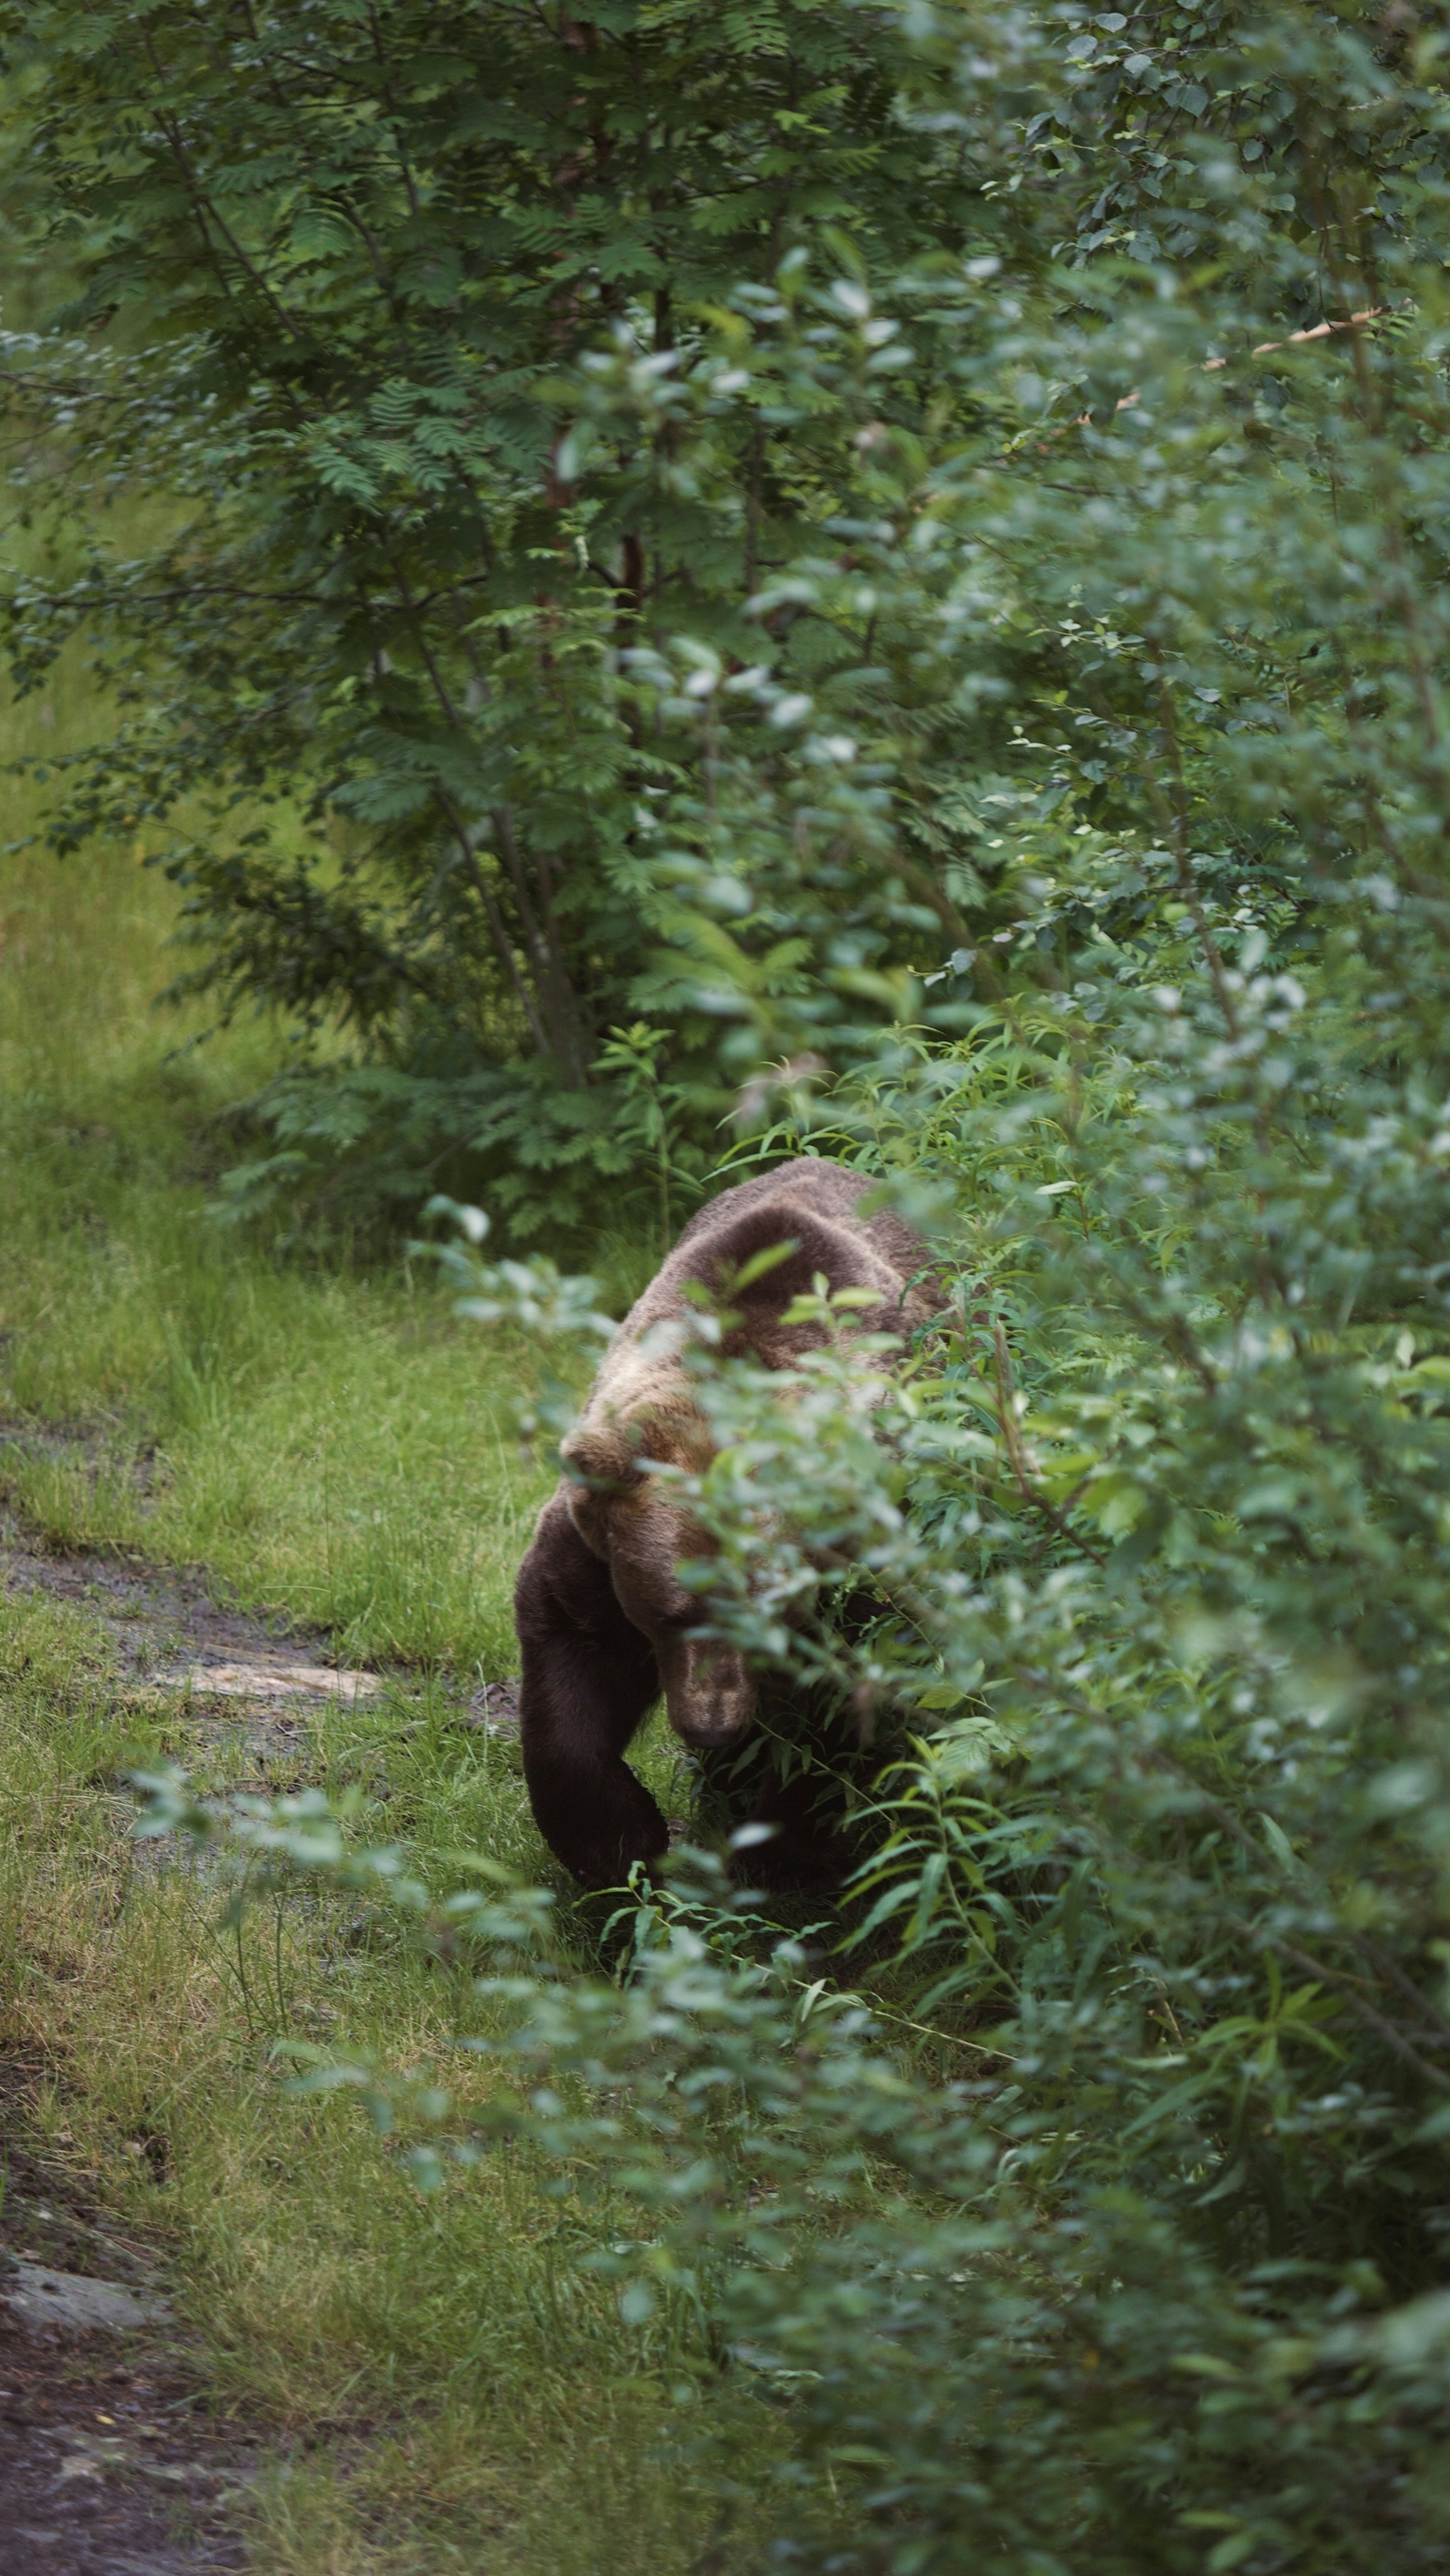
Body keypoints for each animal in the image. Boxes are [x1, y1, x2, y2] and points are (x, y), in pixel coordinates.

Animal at [513, 1158, 936, 1892]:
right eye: (668, 1613)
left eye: (768, 1618)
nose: (712, 1727)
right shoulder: (598, 1540)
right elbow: (571, 1661)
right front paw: (622, 1847)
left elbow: (836, 1697)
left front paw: (780, 1850)